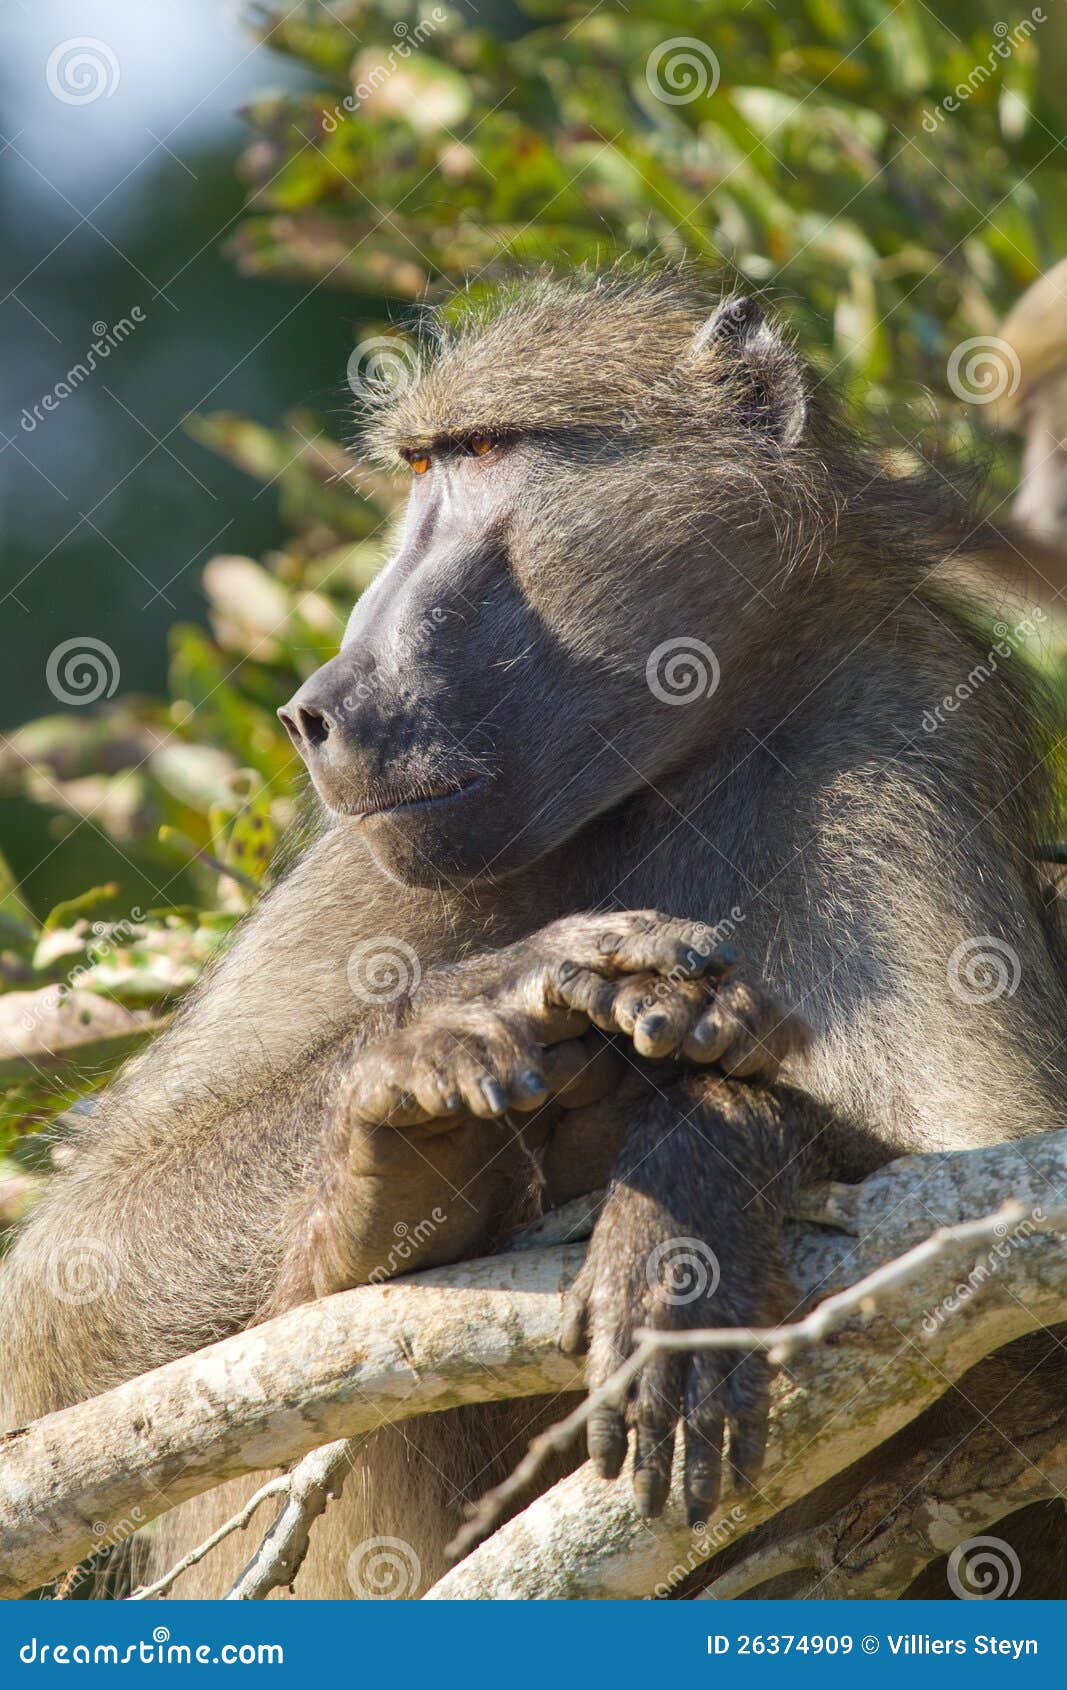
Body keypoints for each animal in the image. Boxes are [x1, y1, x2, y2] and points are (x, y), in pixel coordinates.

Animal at [1, 267, 1065, 1599]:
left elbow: (996, 1277)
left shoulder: (896, 723)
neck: (694, 748)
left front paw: (691, 1175)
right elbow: (66, 1278)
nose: (316, 710)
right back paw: (401, 1180)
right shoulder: (383, 856)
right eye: (421, 466)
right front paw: (449, 1037)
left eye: (485, 453)